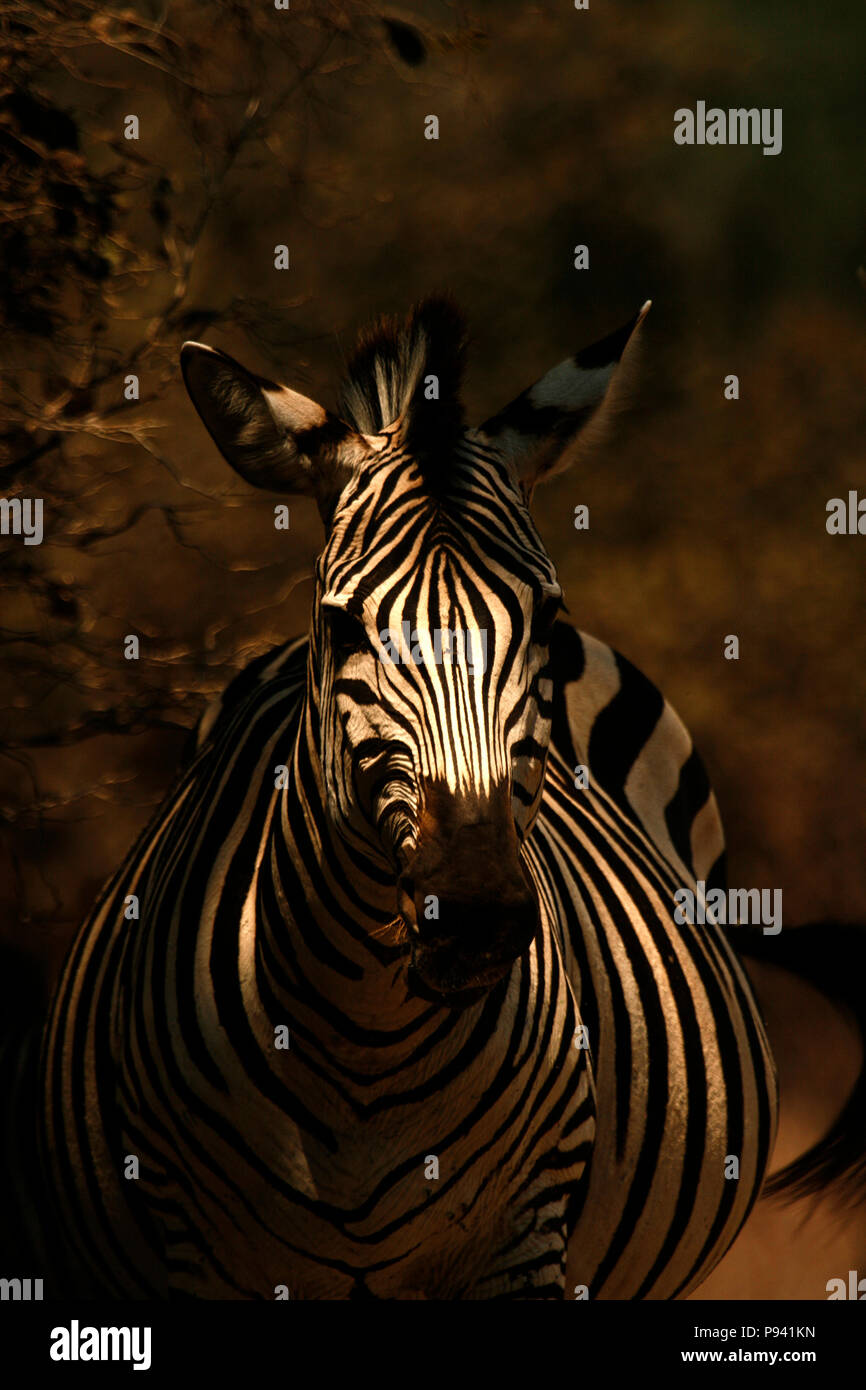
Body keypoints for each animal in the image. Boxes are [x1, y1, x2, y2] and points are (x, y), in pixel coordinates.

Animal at [32, 296, 861, 1301]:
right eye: (344, 626)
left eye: (547, 620)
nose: (473, 914)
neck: (365, 1042)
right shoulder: (199, 1250)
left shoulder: (521, 1239)